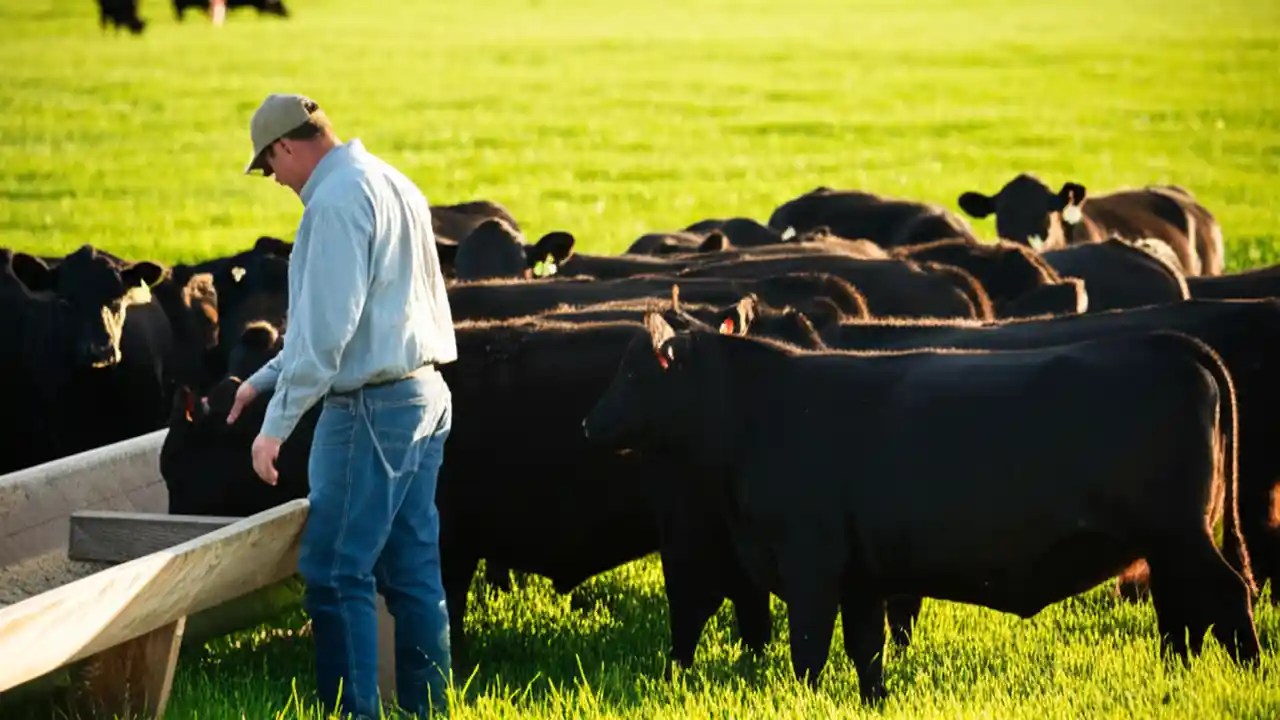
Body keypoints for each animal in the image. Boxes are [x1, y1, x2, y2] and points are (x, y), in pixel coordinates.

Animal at [583, 315, 1259, 702]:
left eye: (635, 376)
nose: (589, 424)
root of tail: (1168, 345)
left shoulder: (809, 566)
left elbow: (809, 652)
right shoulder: (860, 578)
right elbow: (867, 651)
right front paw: (873, 701)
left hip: (1181, 535)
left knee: (1228, 595)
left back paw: (1251, 671)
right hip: (1170, 544)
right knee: (1182, 612)